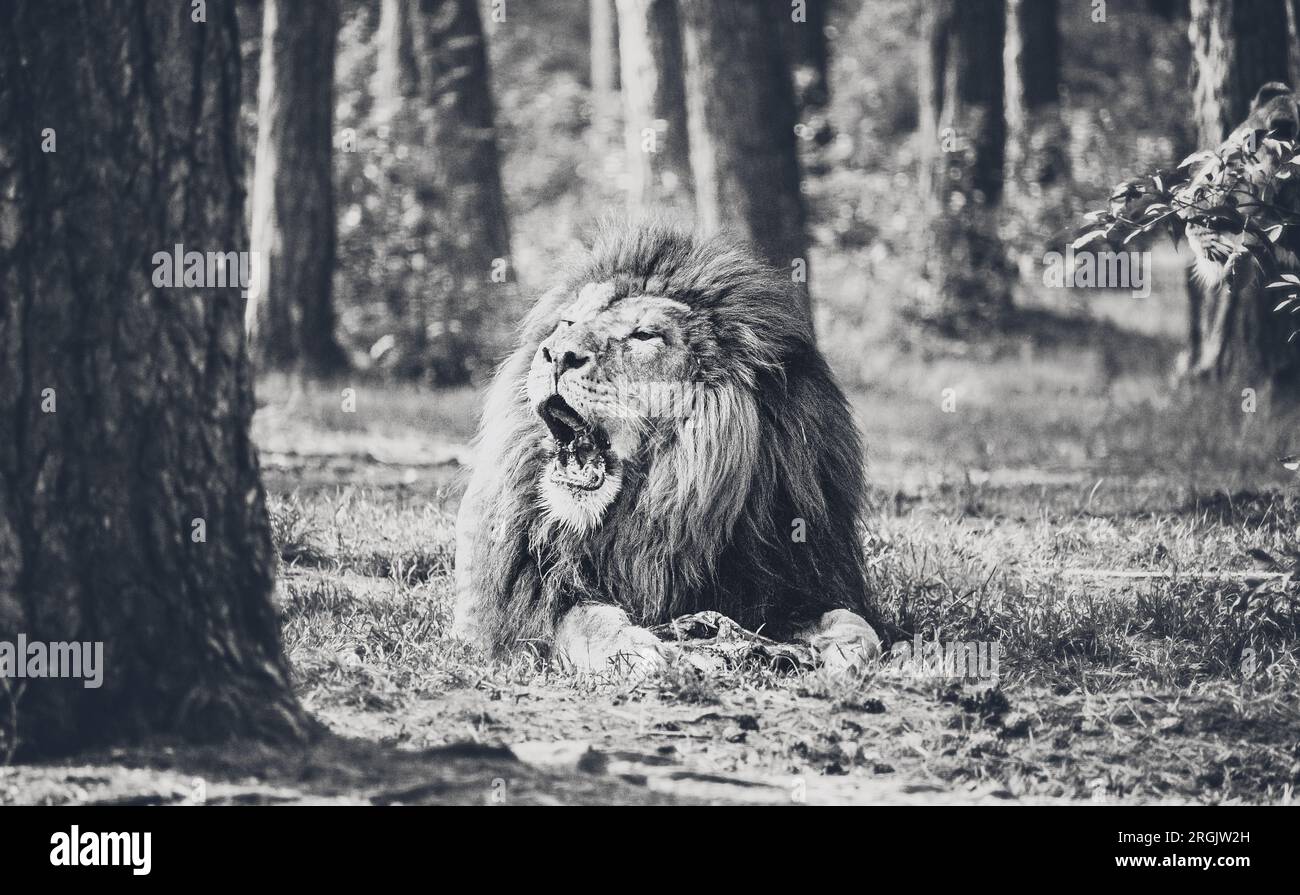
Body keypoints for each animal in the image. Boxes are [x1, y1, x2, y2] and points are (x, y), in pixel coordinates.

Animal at [450, 224, 882, 674]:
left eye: (644, 335)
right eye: (567, 322)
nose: (556, 354)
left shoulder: (795, 584)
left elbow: (857, 624)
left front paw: (846, 656)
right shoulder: (525, 606)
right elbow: (581, 621)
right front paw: (634, 652)